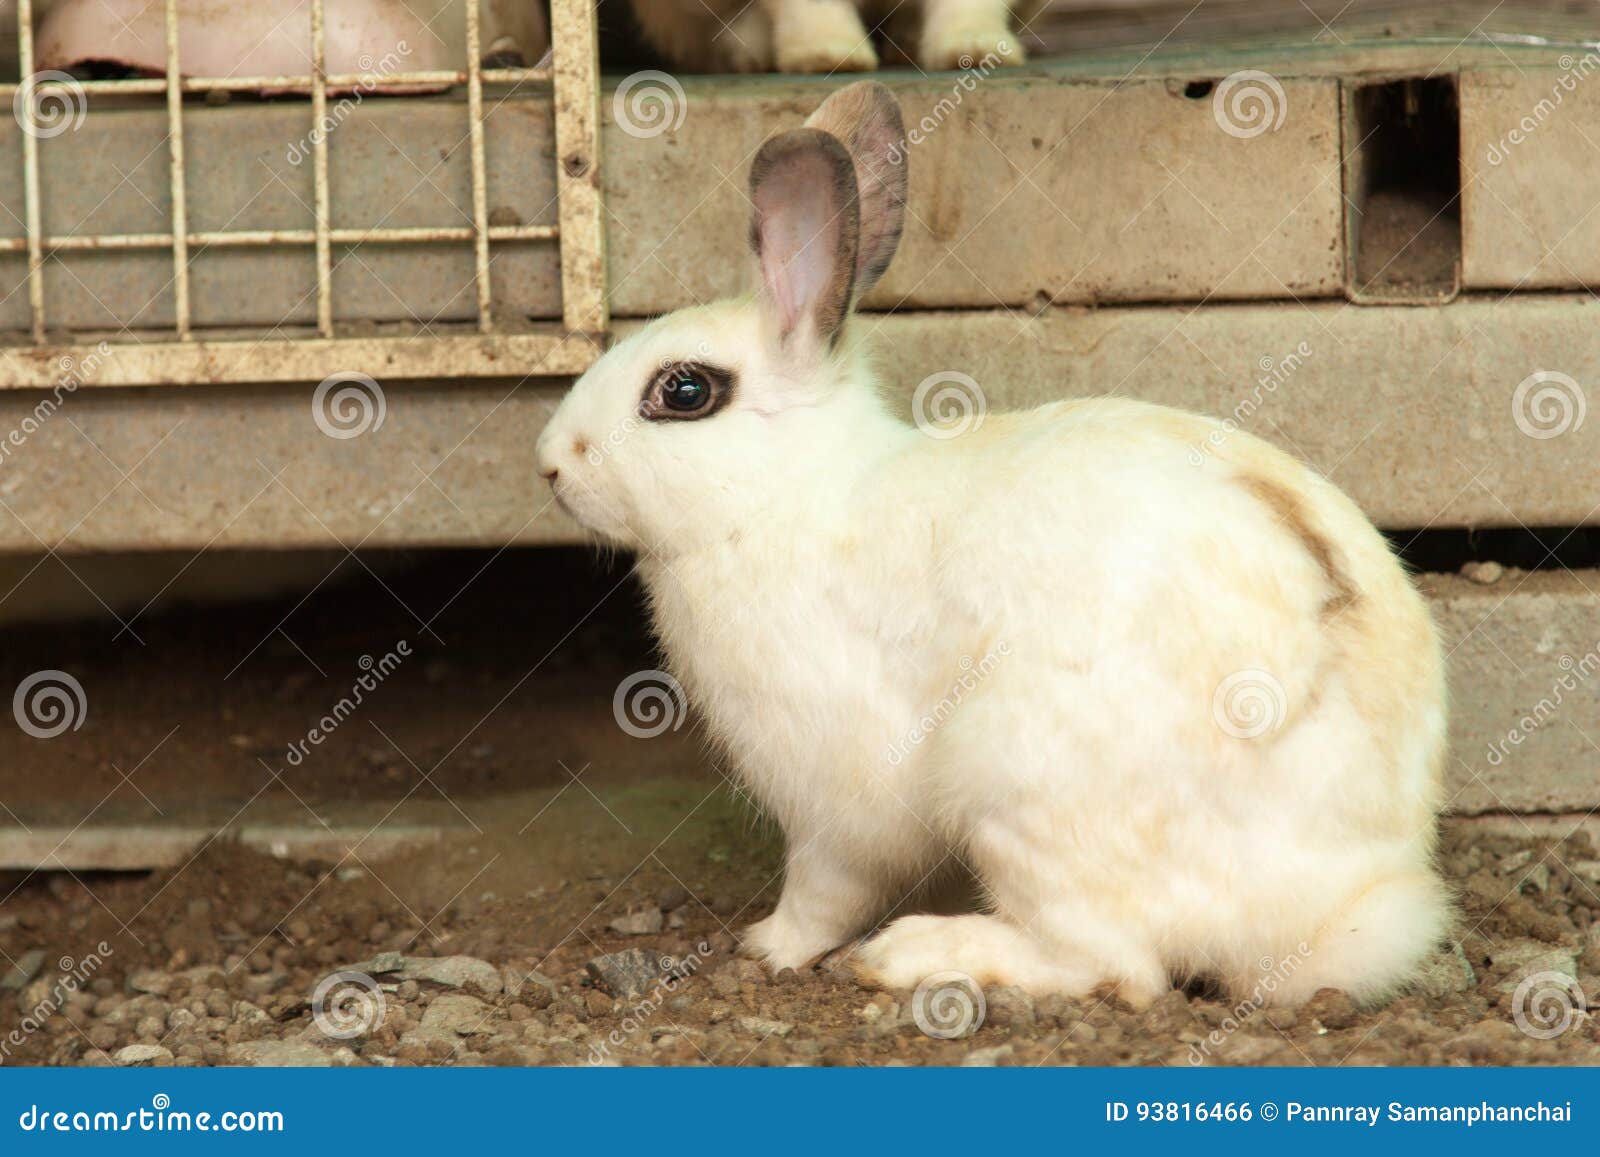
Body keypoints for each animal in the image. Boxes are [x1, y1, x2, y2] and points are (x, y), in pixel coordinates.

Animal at [534, 80, 1450, 1008]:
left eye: (684, 391)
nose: (550, 464)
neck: (788, 492)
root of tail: (1347, 904)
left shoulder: (834, 797)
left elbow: (826, 886)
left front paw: (769, 947)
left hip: (1015, 781)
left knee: (1116, 964)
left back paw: (922, 952)